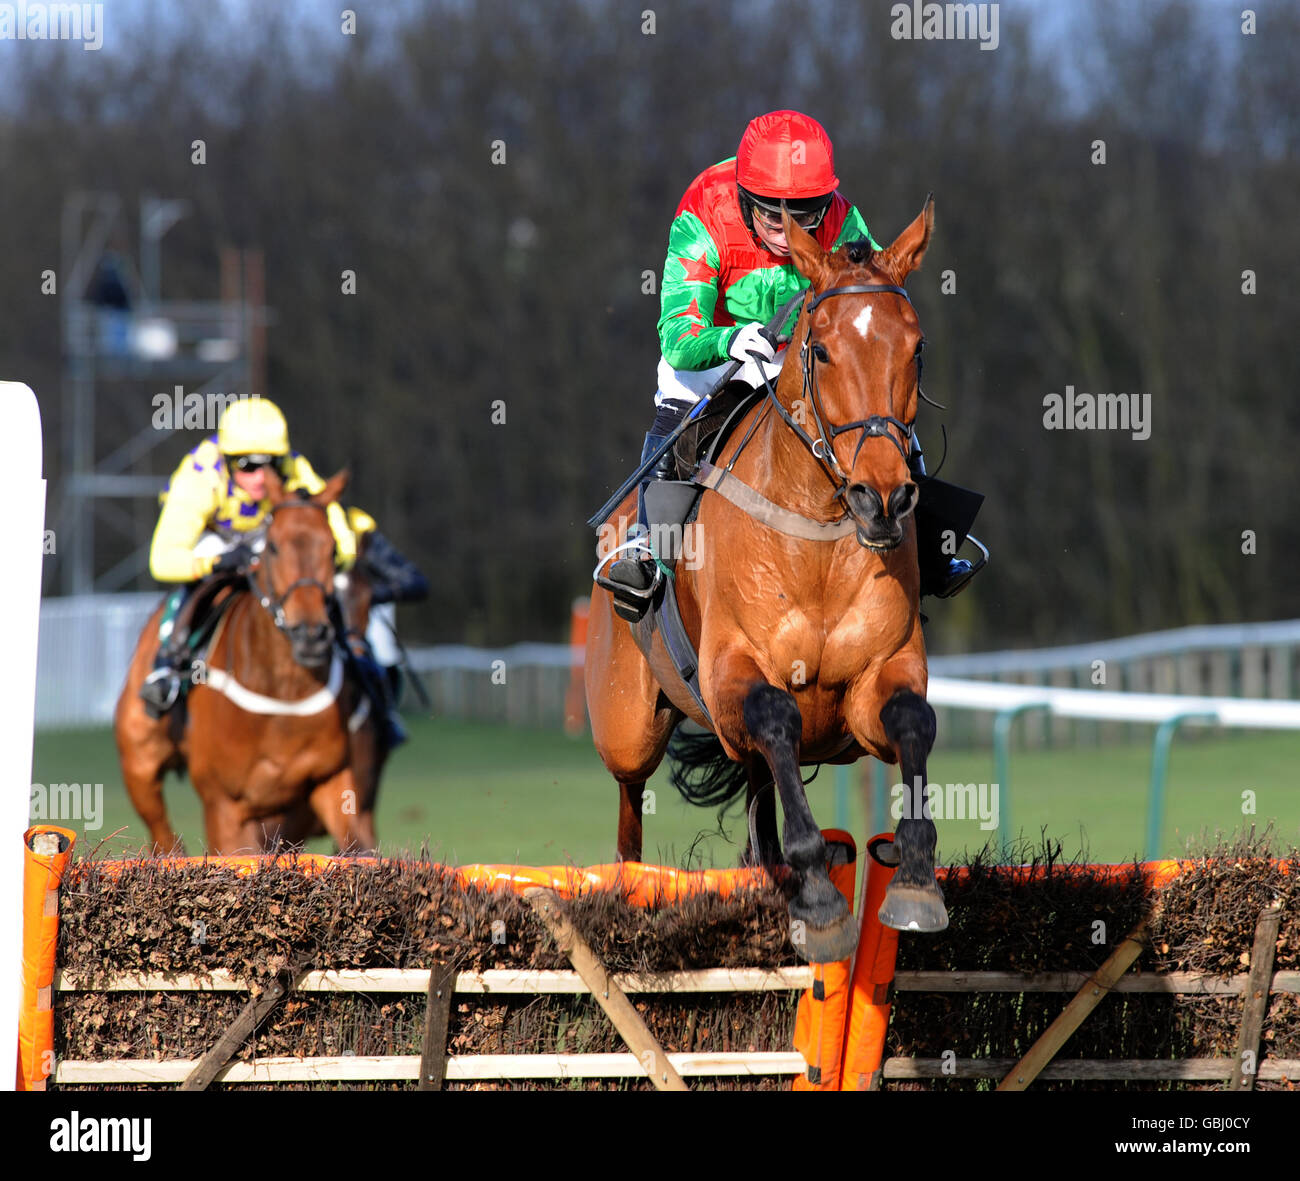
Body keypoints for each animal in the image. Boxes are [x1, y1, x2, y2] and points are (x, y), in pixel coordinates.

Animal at [114, 468, 387, 855]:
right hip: (140, 766)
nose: (310, 633)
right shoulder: (224, 805)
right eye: (273, 546)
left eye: (332, 548)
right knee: (164, 837)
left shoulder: (332, 784)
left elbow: (358, 847)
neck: (283, 693)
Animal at [585, 199, 945, 963]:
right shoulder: (732, 672)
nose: (882, 497)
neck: (817, 542)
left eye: (916, 348)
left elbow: (912, 720)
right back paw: (624, 887)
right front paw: (819, 895)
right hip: (625, 723)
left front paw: (916, 879)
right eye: (822, 350)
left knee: (755, 787)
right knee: (631, 802)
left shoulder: (876, 679)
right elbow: (776, 715)